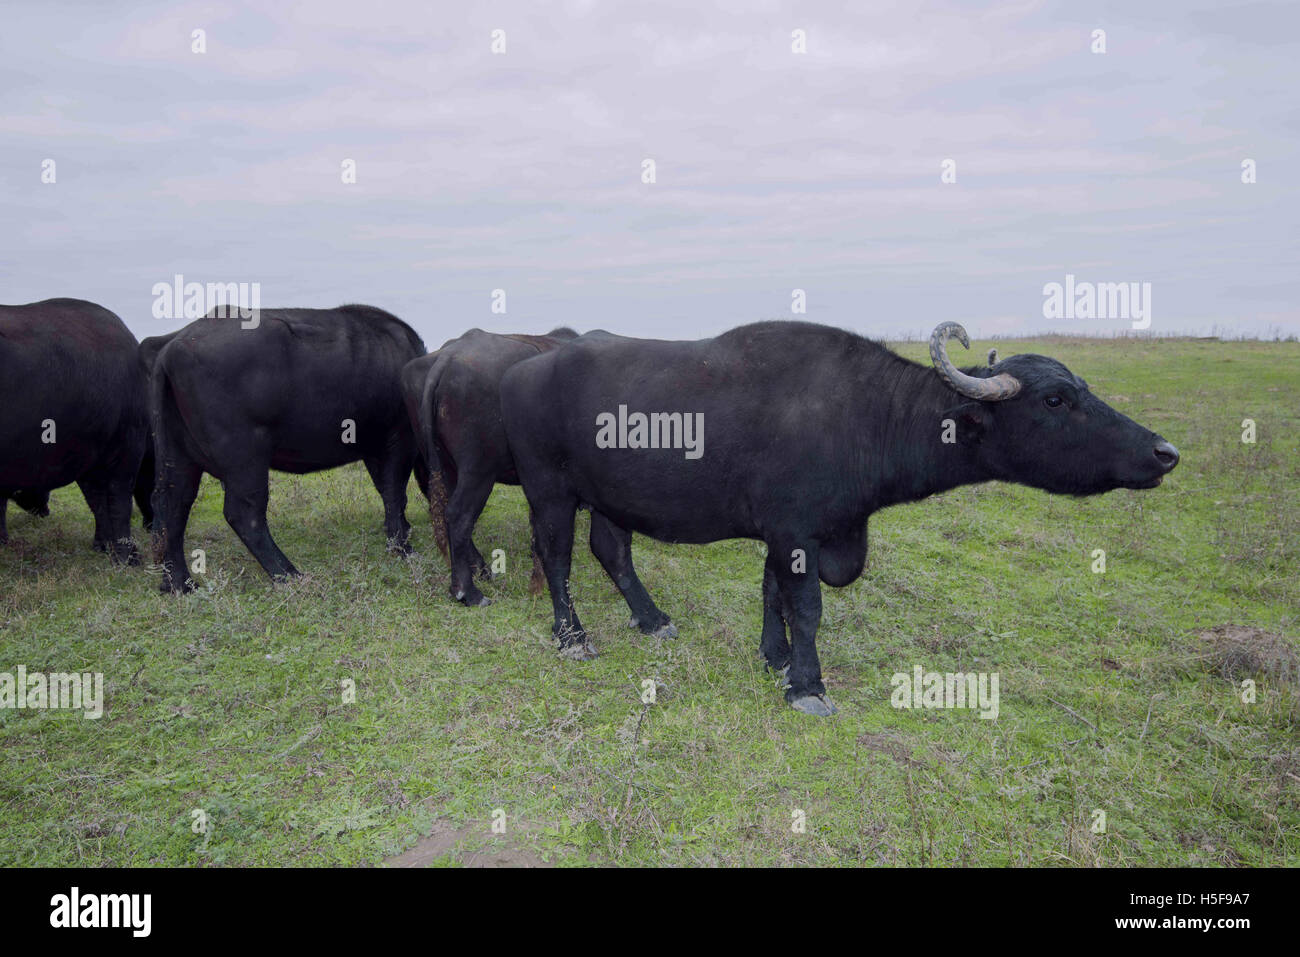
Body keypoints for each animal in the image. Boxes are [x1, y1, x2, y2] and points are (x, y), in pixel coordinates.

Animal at [150, 305, 428, 593]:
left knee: (172, 507)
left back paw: (179, 583)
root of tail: (174, 347)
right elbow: (395, 494)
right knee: (244, 512)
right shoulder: (400, 440)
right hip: (246, 458)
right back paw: (288, 573)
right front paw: (403, 547)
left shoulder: (374, 448)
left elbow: (386, 491)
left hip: (178, 456)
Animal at [500, 320, 1179, 715]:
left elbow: (771, 591)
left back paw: (652, 618)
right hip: (549, 489)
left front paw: (775, 657)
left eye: (1080, 387)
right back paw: (573, 638)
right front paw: (807, 685)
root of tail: (522, 371)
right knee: (555, 556)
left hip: (608, 495)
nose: (1164, 452)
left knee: (610, 549)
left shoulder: (788, 534)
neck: (864, 415)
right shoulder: (797, 533)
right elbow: (807, 607)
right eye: (1055, 400)